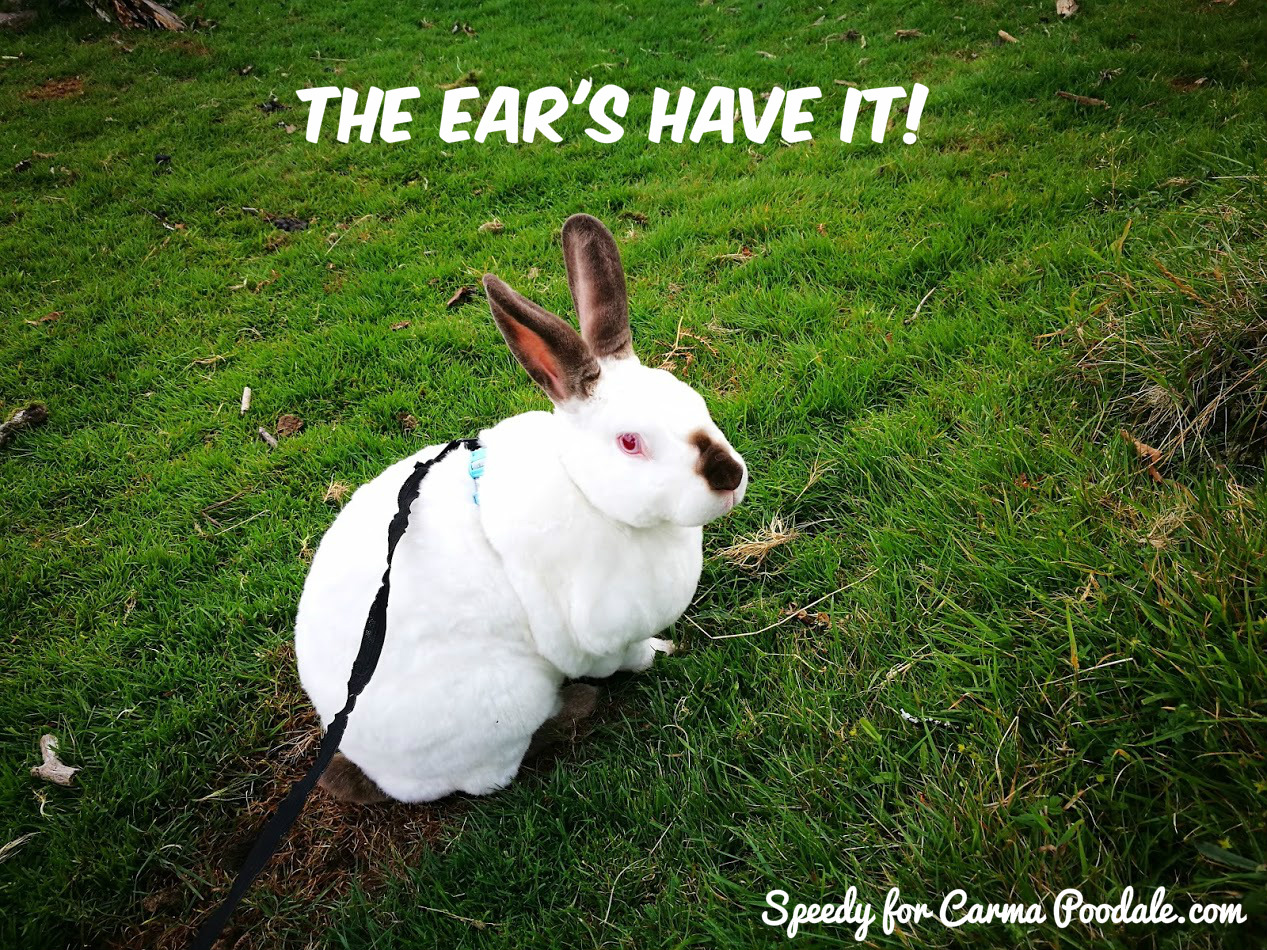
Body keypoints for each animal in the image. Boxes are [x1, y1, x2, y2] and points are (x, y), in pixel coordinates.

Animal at [294, 214, 748, 804]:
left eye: (693, 400)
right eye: (630, 442)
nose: (729, 477)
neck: (586, 491)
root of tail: (382, 773)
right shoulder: (596, 638)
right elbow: (625, 656)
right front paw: (658, 653)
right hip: (508, 701)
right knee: (495, 773)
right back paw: (576, 707)